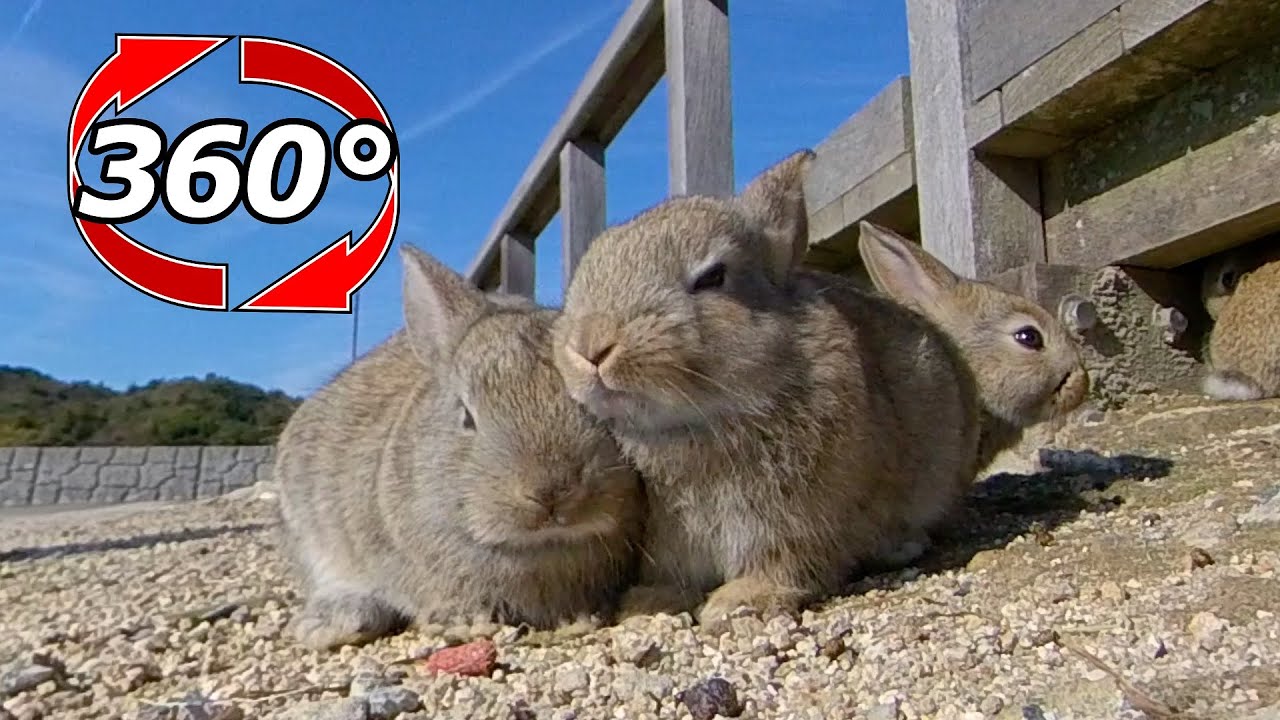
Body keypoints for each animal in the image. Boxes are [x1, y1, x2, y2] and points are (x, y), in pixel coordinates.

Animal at [549, 149, 985, 630]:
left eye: (712, 278)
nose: (590, 347)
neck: (702, 419)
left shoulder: (802, 521)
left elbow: (785, 561)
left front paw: (740, 601)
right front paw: (646, 606)